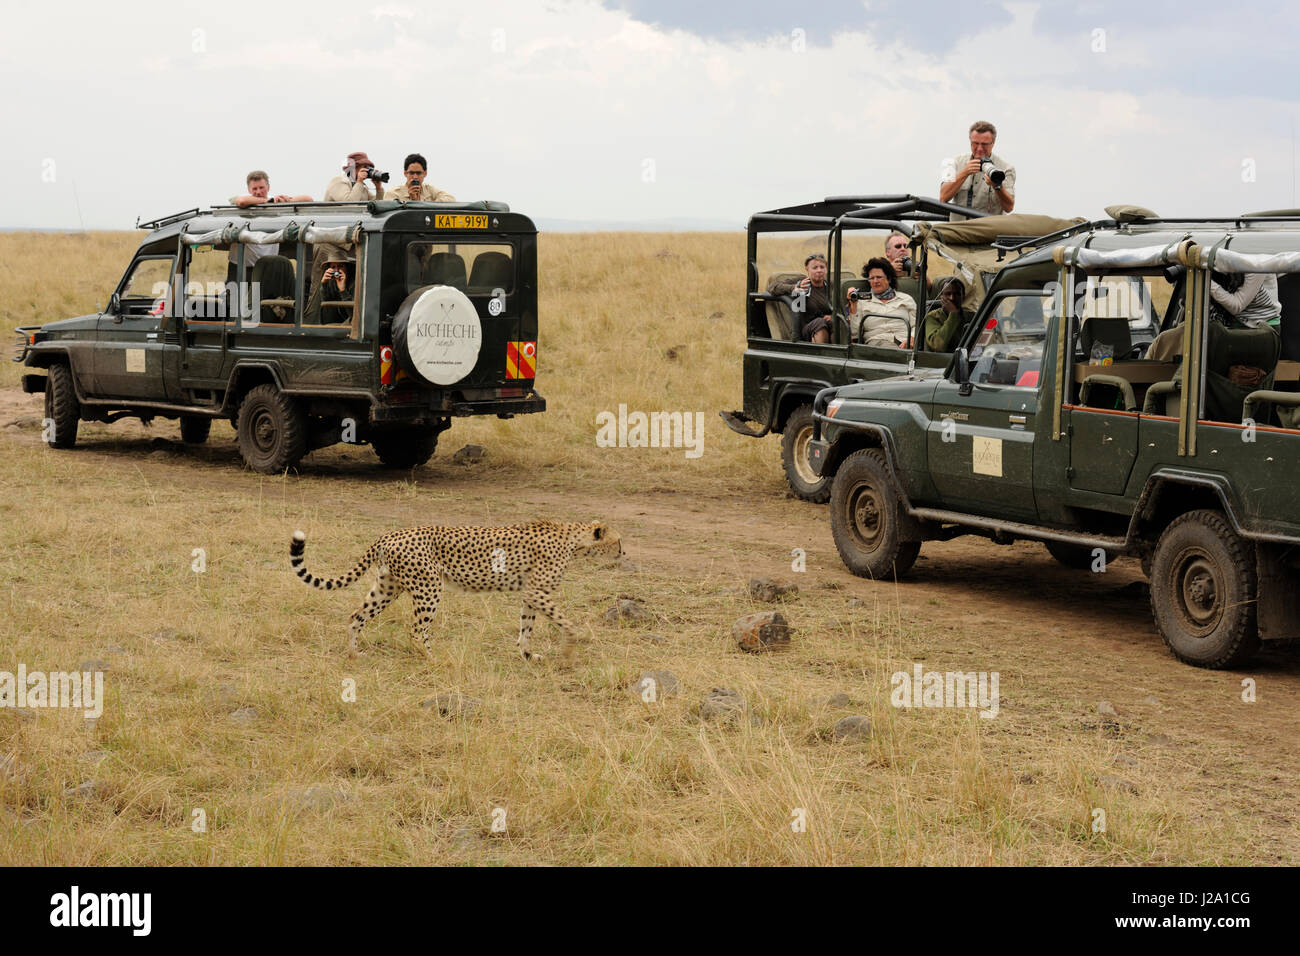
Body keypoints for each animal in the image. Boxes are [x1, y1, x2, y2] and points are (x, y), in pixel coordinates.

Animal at [289, 520, 621, 660]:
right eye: (618, 541)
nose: (624, 553)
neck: (573, 538)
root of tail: (389, 534)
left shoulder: (530, 594)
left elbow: (527, 628)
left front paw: (528, 654)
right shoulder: (538, 592)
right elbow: (566, 622)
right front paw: (571, 646)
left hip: (388, 586)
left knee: (355, 616)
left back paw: (354, 653)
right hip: (428, 587)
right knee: (416, 629)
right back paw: (433, 658)